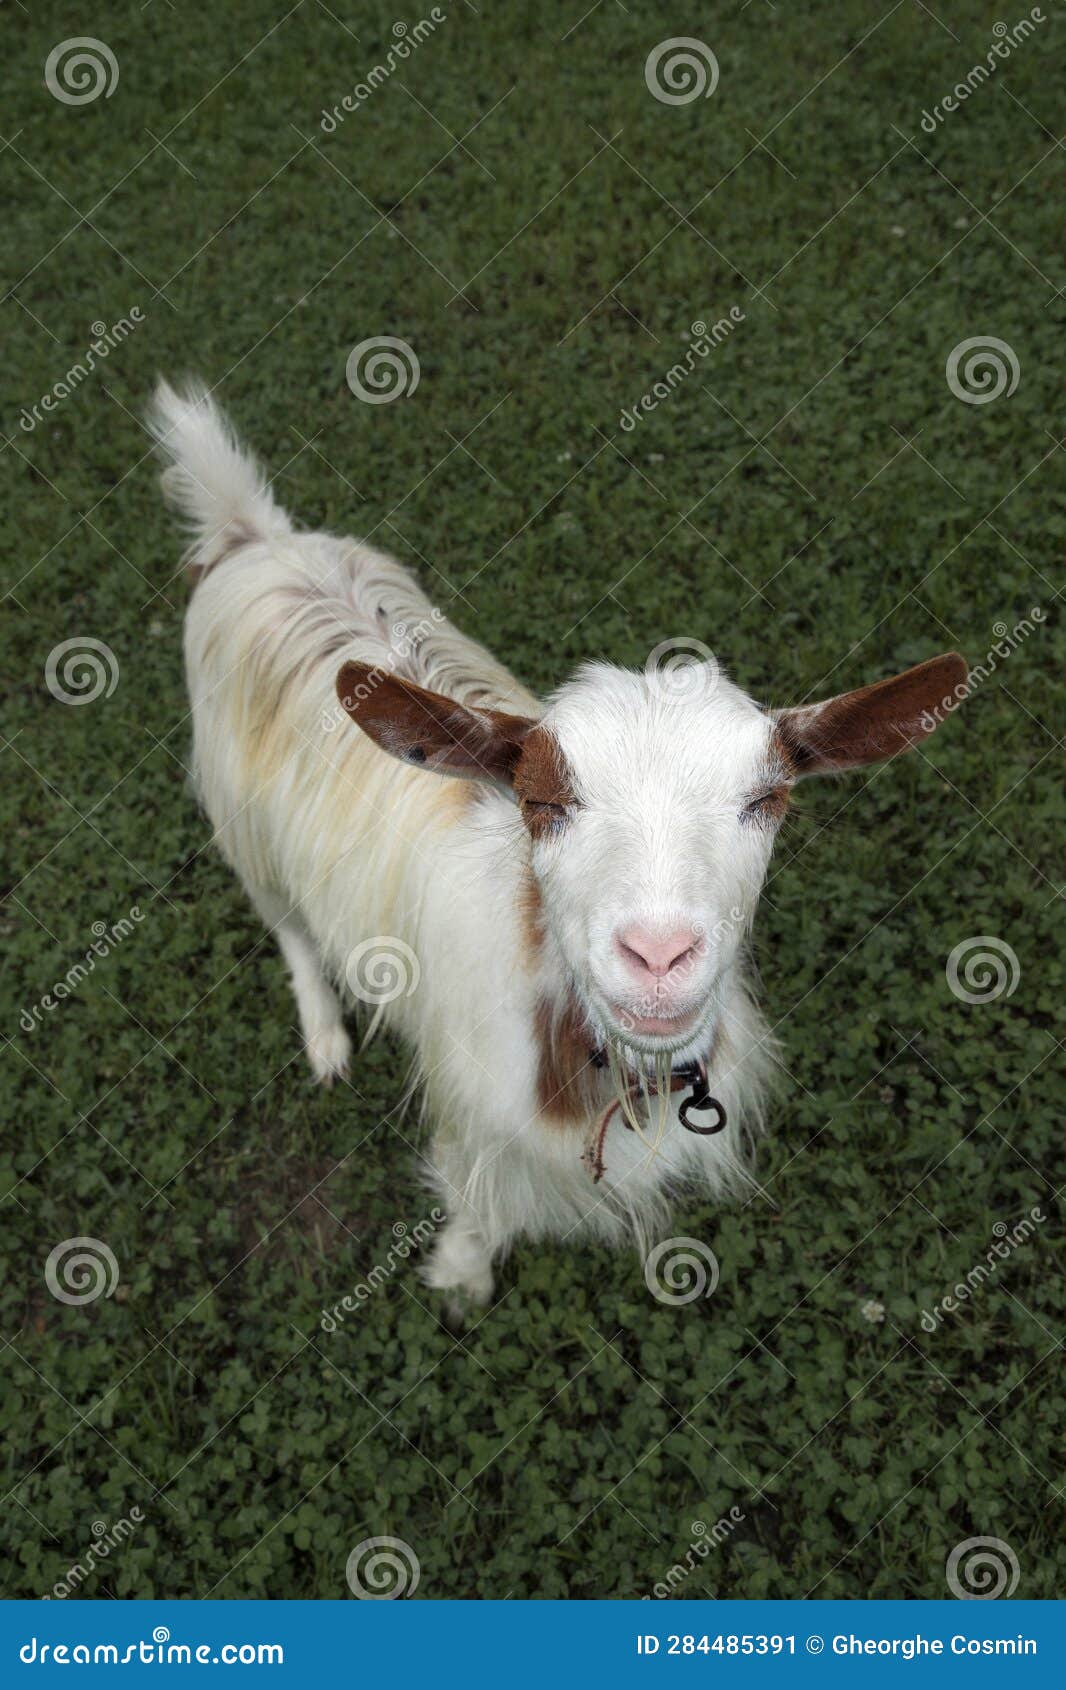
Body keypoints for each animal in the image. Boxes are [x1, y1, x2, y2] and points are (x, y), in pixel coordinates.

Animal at [151, 380, 967, 1308]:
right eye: (541, 802)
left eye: (768, 801)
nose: (658, 956)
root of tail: (253, 537)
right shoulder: (471, 1108)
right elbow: (474, 1197)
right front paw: (462, 1279)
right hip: (238, 816)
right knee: (286, 922)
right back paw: (325, 1039)